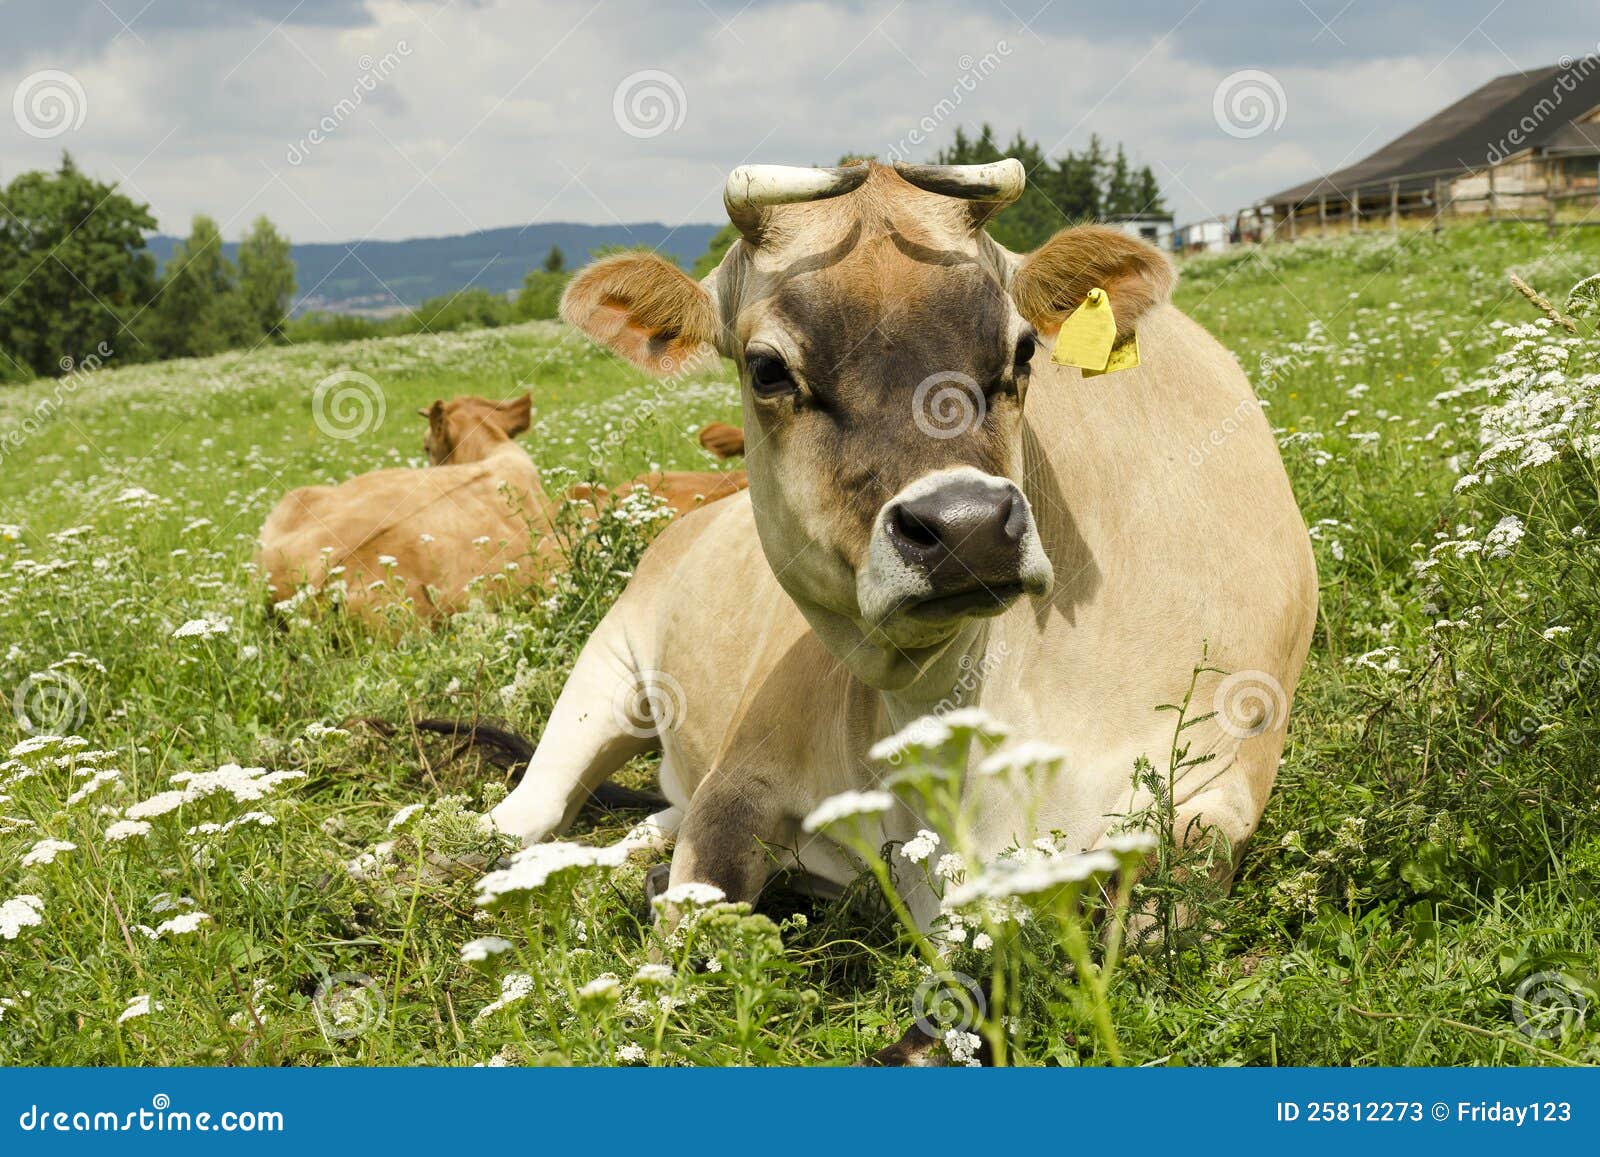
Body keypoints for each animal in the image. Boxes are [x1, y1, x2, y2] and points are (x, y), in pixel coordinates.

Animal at [485, 160, 1317, 1060]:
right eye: (767, 367)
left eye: (1025, 349)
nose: (966, 525)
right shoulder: (741, 775)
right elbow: (682, 941)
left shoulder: (1213, 793)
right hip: (605, 671)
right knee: (525, 813)